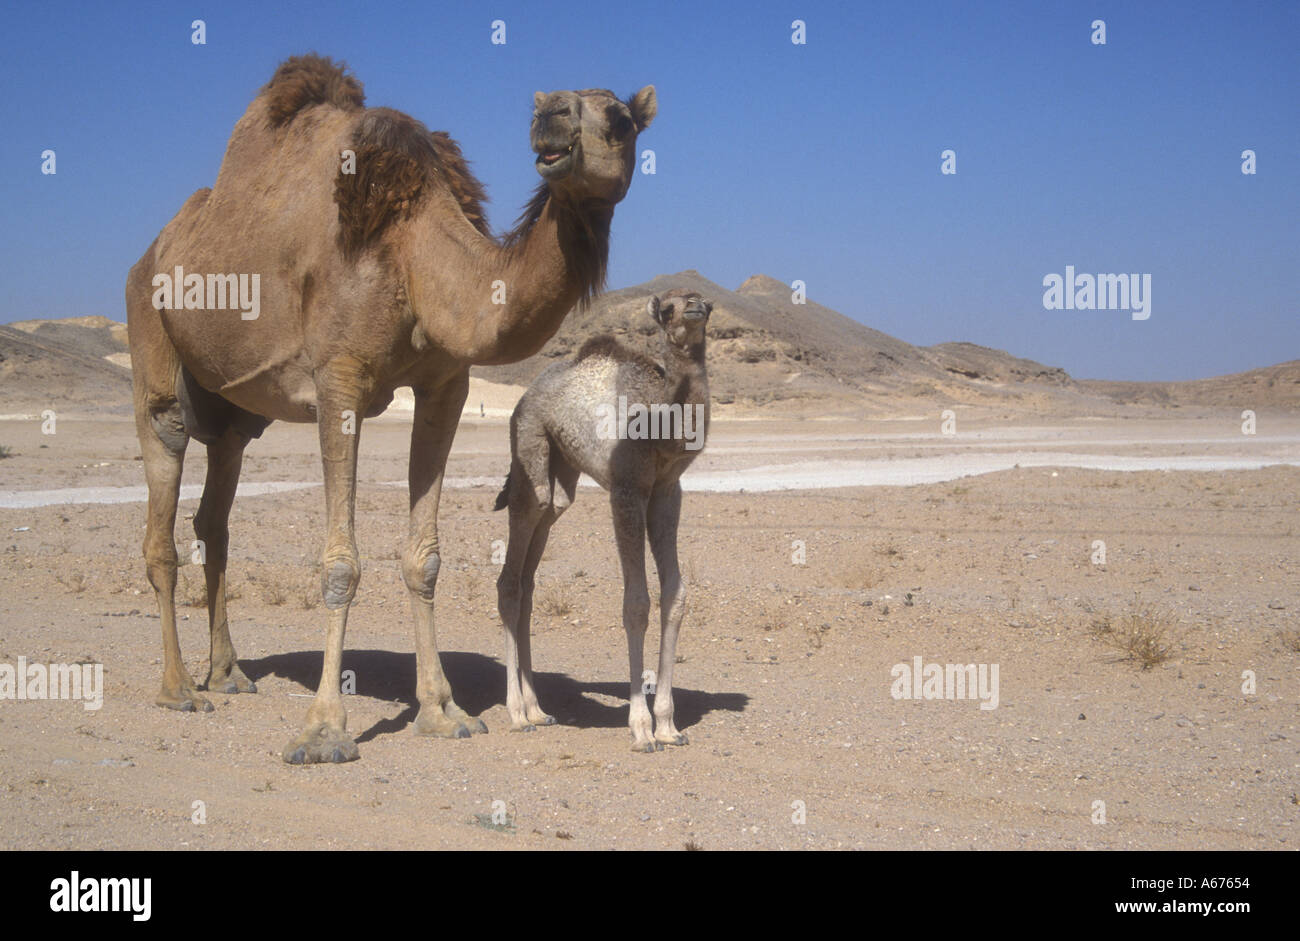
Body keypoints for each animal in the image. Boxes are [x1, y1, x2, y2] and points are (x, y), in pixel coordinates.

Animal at [125, 54, 656, 764]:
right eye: (550, 106)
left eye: (621, 120)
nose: (551, 121)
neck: (414, 255)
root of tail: (153, 249)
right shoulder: (339, 378)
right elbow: (340, 563)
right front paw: (324, 731)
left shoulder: (446, 384)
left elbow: (423, 557)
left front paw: (443, 711)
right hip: (149, 329)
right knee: (164, 472)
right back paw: (180, 688)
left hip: (233, 411)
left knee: (215, 513)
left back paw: (229, 673)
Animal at [494, 289, 712, 751]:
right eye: (667, 309)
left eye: (704, 302)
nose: (695, 306)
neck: (660, 423)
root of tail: (525, 395)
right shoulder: (626, 489)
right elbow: (637, 602)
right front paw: (642, 729)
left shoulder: (667, 490)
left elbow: (675, 596)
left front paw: (669, 727)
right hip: (529, 445)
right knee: (512, 572)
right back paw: (518, 714)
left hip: (562, 475)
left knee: (534, 562)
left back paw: (539, 710)